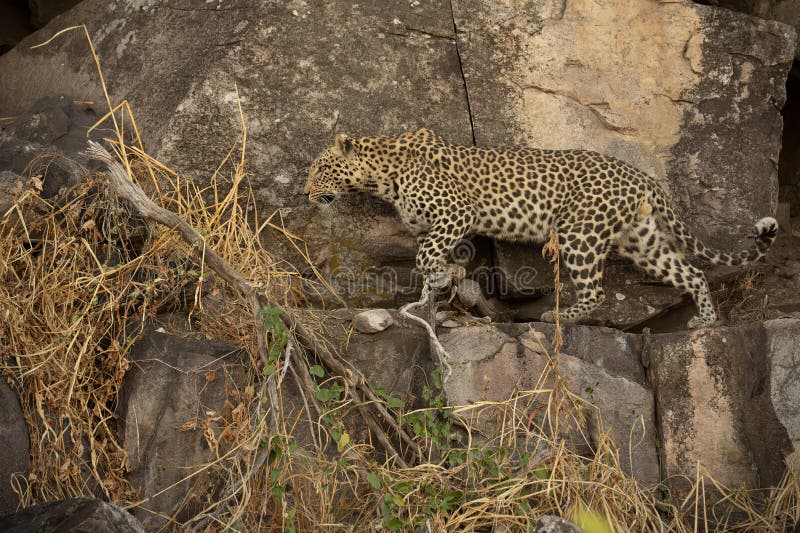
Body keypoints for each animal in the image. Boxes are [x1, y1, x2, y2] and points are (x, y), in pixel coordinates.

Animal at [304, 128, 778, 328]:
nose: (306, 193)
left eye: (321, 169)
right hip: (641, 241)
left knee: (596, 291)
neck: (381, 174)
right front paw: (437, 288)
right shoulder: (435, 227)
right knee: (692, 272)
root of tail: (643, 177)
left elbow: (424, 257)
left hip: (580, 233)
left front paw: (441, 277)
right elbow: (432, 259)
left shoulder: (457, 212)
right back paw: (706, 321)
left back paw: (556, 316)